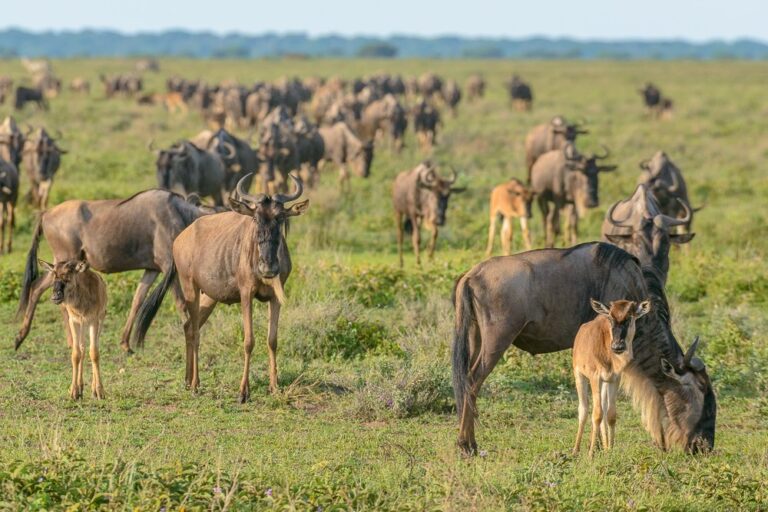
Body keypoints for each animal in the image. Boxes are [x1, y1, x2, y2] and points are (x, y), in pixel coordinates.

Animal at [39, 251, 107, 400]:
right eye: (54, 275)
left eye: (68, 276)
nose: (55, 297)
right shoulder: (74, 321)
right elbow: (76, 354)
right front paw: (74, 391)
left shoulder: (93, 321)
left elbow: (94, 353)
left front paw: (99, 391)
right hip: (82, 326)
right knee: (82, 348)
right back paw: (81, 387)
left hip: (99, 321)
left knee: (92, 348)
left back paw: (93, 388)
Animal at [572, 298, 651, 456]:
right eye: (610, 318)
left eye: (630, 317)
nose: (617, 347)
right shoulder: (595, 378)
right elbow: (596, 414)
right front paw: (591, 454)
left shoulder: (614, 379)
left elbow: (611, 415)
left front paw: (611, 449)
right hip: (580, 376)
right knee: (583, 410)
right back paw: (576, 450)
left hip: (605, 382)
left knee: (603, 408)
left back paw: (604, 446)